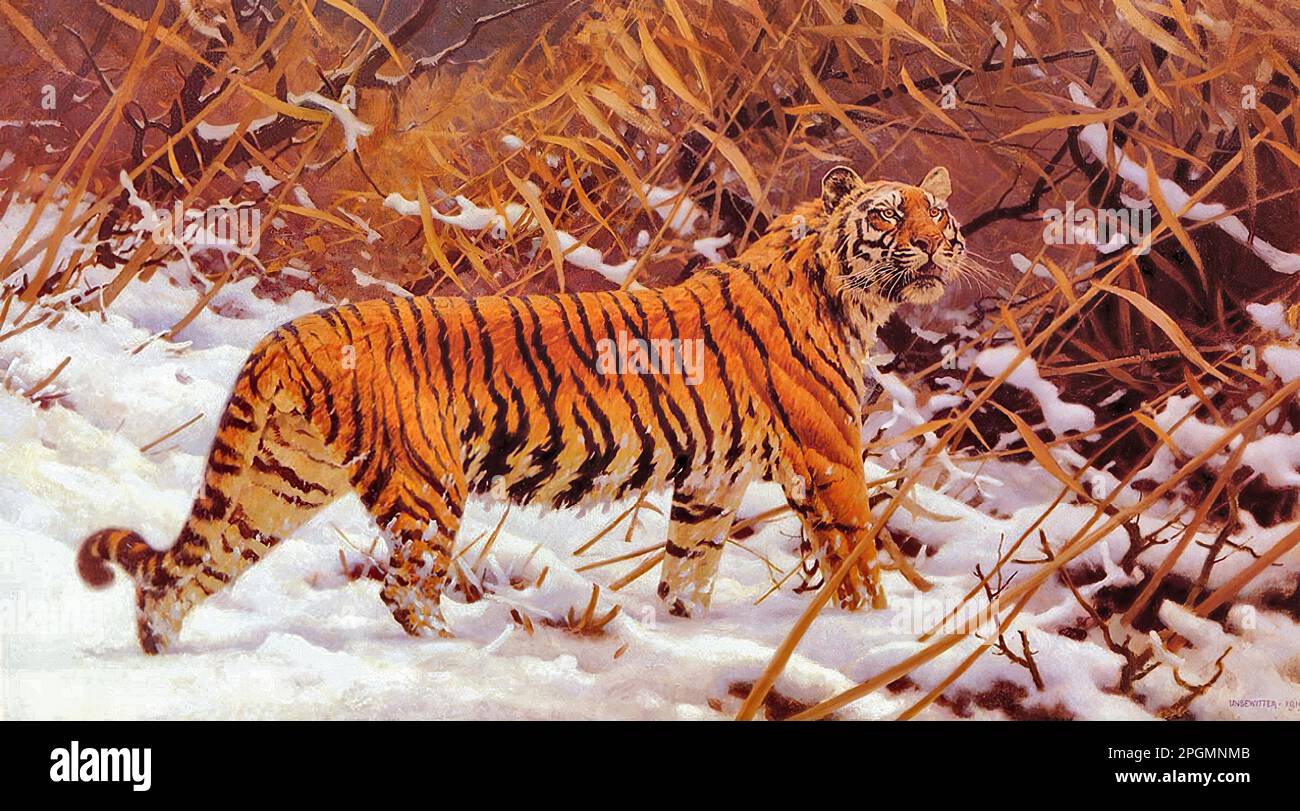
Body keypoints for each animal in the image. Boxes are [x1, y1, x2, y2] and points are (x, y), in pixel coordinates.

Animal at [77, 165, 966, 653]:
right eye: (889, 214)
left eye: (940, 212)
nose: (932, 243)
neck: (850, 294)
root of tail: (295, 330)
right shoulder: (829, 457)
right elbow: (858, 559)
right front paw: (871, 632)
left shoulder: (714, 479)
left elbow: (690, 564)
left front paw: (682, 623)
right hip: (427, 483)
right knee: (405, 592)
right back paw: (461, 650)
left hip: (280, 479)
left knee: (187, 570)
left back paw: (160, 650)